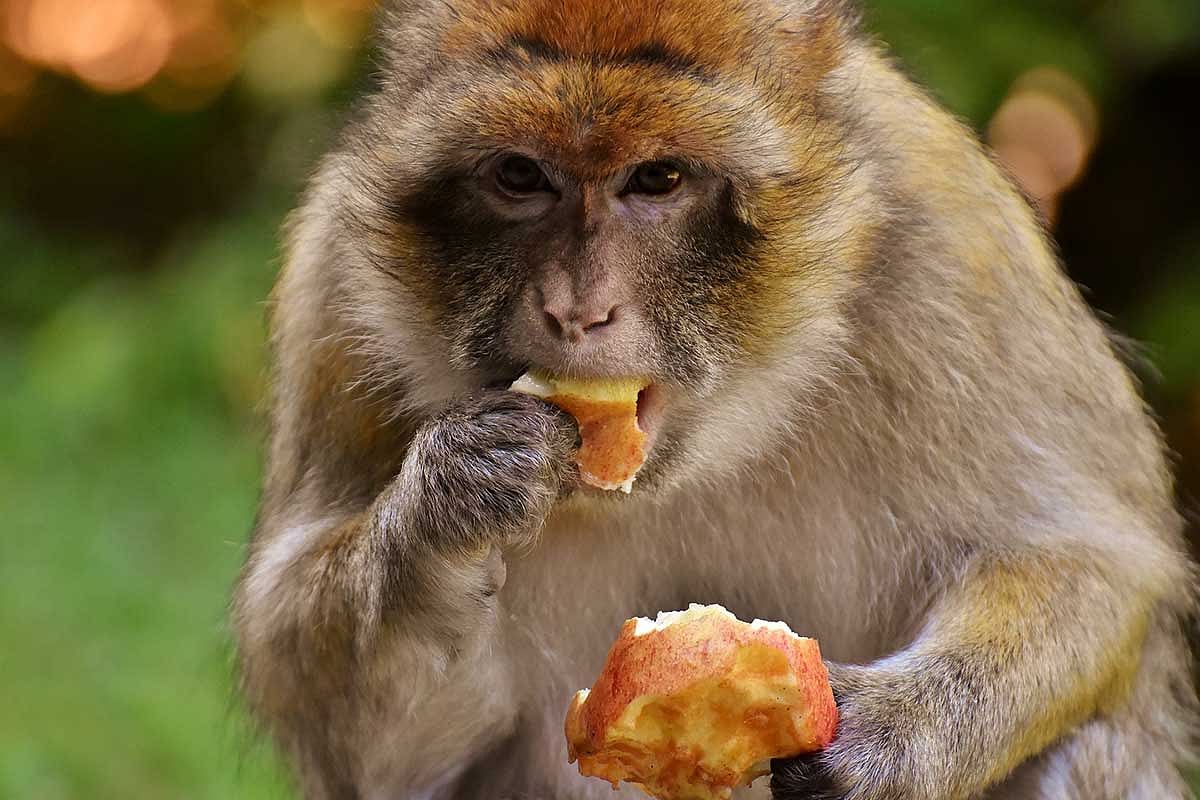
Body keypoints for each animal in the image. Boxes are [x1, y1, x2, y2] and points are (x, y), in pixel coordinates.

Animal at [231, 0, 1198, 797]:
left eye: (657, 180)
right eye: (519, 176)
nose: (575, 309)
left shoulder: (957, 239)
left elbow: (1087, 562)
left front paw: (888, 738)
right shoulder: (334, 285)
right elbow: (368, 749)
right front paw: (449, 500)